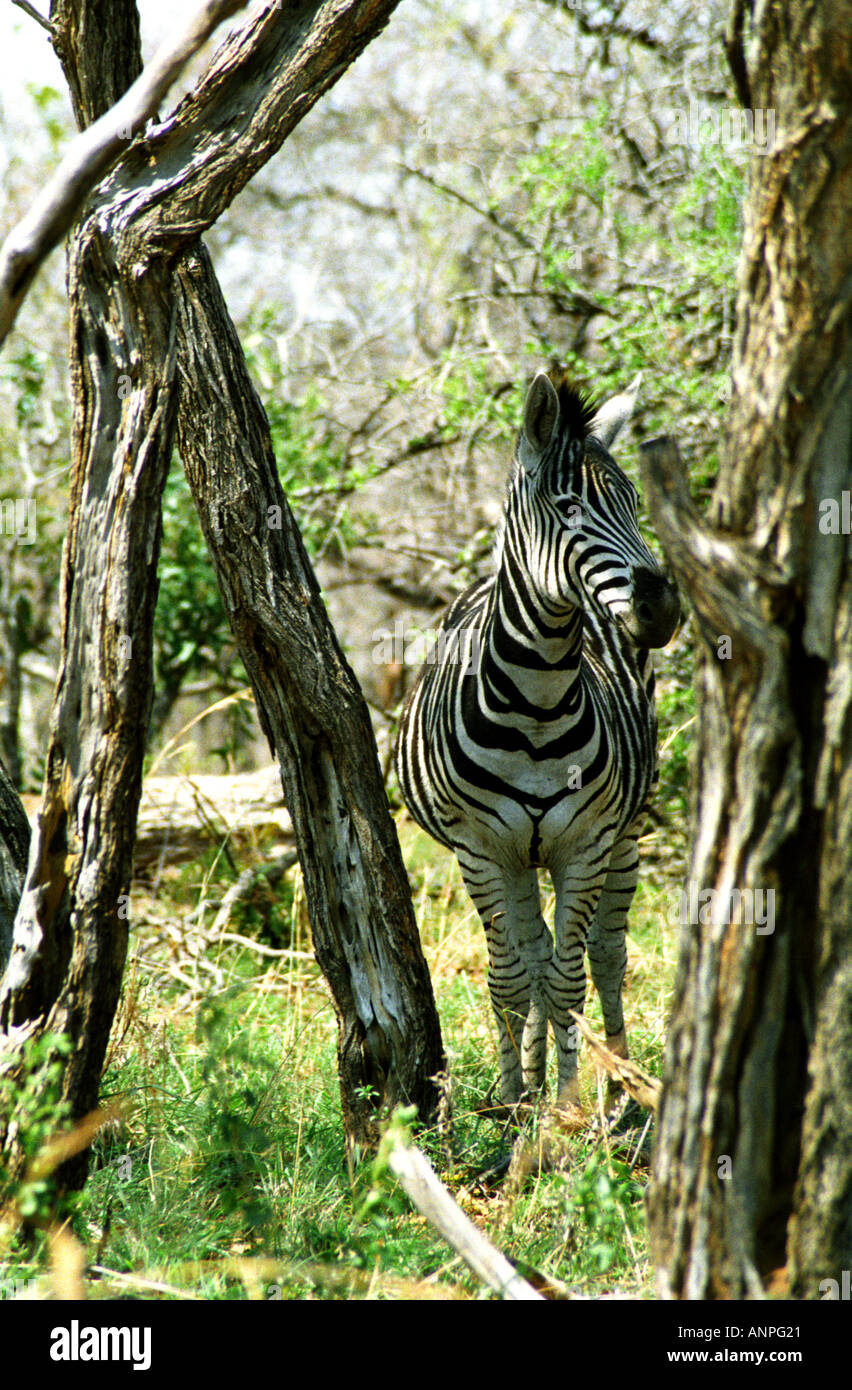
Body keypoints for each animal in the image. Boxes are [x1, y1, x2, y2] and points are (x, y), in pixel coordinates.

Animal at [395, 367, 679, 1116]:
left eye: (634, 502)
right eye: (567, 506)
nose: (663, 610)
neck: (537, 705)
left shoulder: (586, 842)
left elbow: (570, 976)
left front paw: (572, 1106)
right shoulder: (480, 850)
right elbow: (511, 977)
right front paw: (510, 1101)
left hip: (624, 832)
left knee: (602, 954)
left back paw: (619, 1083)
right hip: (519, 858)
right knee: (533, 951)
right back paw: (528, 1078)